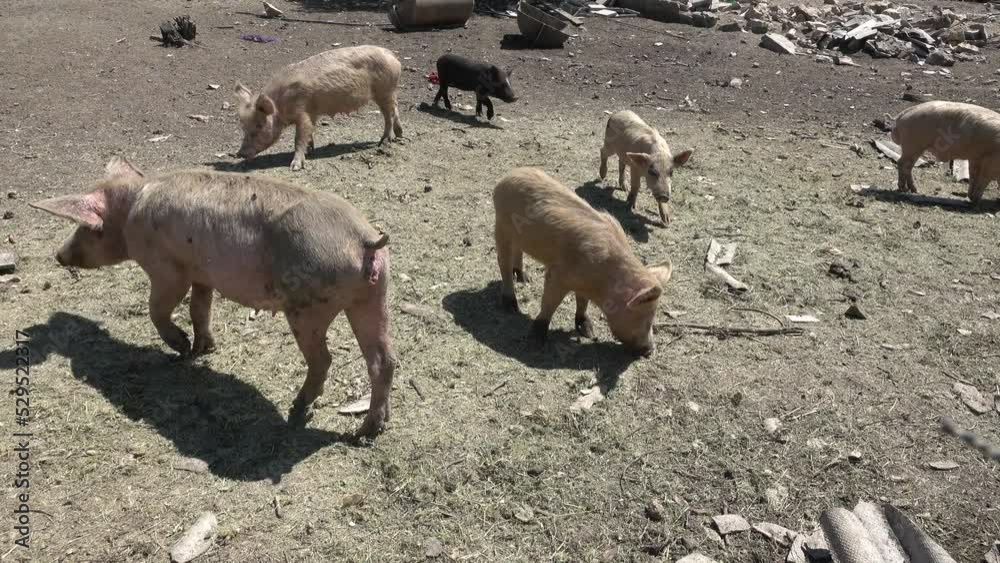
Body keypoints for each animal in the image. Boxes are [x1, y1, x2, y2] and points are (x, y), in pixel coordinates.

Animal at [29, 157, 396, 438]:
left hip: (308, 308)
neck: (131, 209)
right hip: (373, 296)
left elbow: (158, 308)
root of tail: (365, 240)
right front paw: (203, 349)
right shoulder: (202, 275)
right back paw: (367, 431)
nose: (58, 255)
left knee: (324, 359)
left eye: (88, 228)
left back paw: (298, 409)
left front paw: (180, 350)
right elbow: (199, 308)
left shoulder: (167, 269)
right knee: (384, 361)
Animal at [235, 45, 404, 171]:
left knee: (389, 115)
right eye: (244, 128)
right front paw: (311, 150)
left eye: (259, 126)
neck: (280, 105)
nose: (238, 154)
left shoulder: (302, 111)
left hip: (384, 91)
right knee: (395, 109)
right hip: (388, 92)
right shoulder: (312, 113)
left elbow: (299, 137)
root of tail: (392, 55)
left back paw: (383, 142)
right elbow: (309, 132)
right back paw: (399, 135)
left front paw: (295, 167)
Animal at [493, 167, 672, 358]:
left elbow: (582, 303)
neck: (603, 282)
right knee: (503, 264)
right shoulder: (557, 275)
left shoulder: (583, 284)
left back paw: (525, 278)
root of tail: (507, 178)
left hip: (518, 237)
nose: (650, 351)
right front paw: (538, 341)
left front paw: (588, 332)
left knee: (517, 253)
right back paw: (511, 307)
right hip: (501, 228)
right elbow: (549, 304)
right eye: (646, 319)